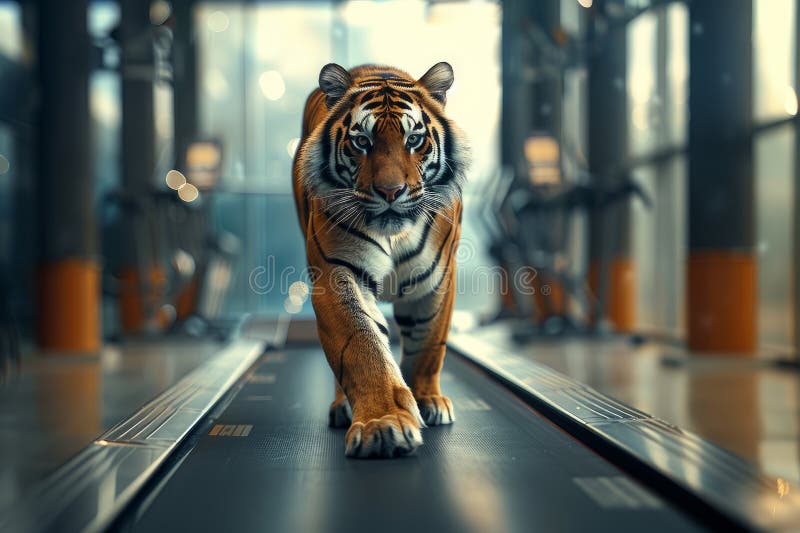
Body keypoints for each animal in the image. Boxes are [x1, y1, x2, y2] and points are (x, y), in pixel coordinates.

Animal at [292, 62, 469, 458]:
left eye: (414, 140)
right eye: (362, 142)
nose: (391, 191)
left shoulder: (436, 281)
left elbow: (427, 346)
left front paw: (427, 400)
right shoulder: (338, 275)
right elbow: (362, 346)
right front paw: (384, 424)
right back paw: (343, 405)